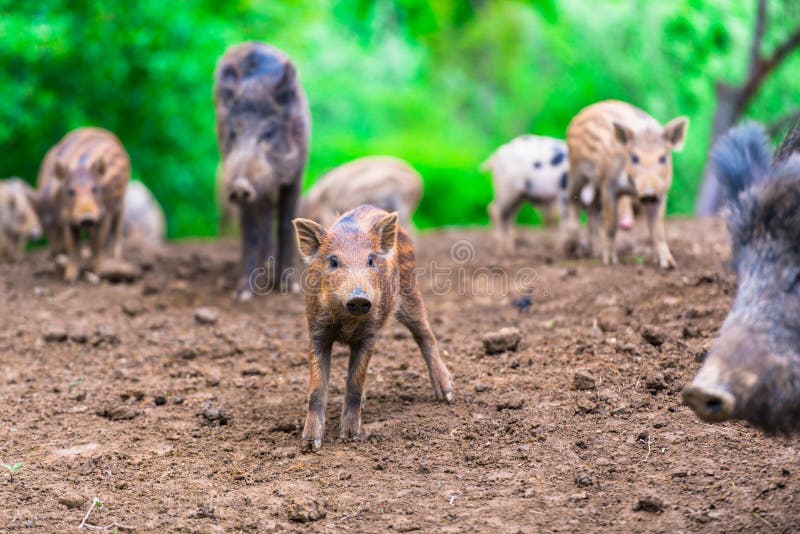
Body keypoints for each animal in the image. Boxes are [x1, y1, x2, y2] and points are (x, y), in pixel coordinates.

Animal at [36, 127, 130, 282]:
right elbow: (73, 245)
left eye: (95, 189)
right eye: (70, 191)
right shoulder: (67, 218)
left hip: (120, 204)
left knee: (116, 229)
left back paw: (115, 258)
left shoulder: (105, 213)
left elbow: (98, 242)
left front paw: (97, 272)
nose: (86, 217)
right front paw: (70, 278)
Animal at [214, 42, 311, 300]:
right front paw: (243, 296)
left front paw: (289, 289)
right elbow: (250, 231)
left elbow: (287, 225)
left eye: (267, 133)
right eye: (234, 133)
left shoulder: (296, 176)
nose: (239, 186)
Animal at [292, 204, 454, 451]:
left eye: (370, 260)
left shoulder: (369, 335)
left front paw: (350, 437)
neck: (347, 324)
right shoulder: (317, 332)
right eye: (333, 261)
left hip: (411, 293)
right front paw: (309, 445)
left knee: (426, 335)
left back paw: (447, 395)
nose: (359, 298)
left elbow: (355, 383)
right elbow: (317, 389)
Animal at [563, 100, 688, 268]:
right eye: (634, 157)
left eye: (662, 158)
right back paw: (571, 246)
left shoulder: (661, 193)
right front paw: (610, 262)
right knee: (572, 199)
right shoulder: (608, 185)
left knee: (593, 209)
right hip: (576, 170)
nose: (648, 193)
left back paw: (595, 252)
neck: (631, 189)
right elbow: (611, 224)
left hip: (596, 183)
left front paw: (668, 265)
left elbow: (658, 229)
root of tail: (584, 112)